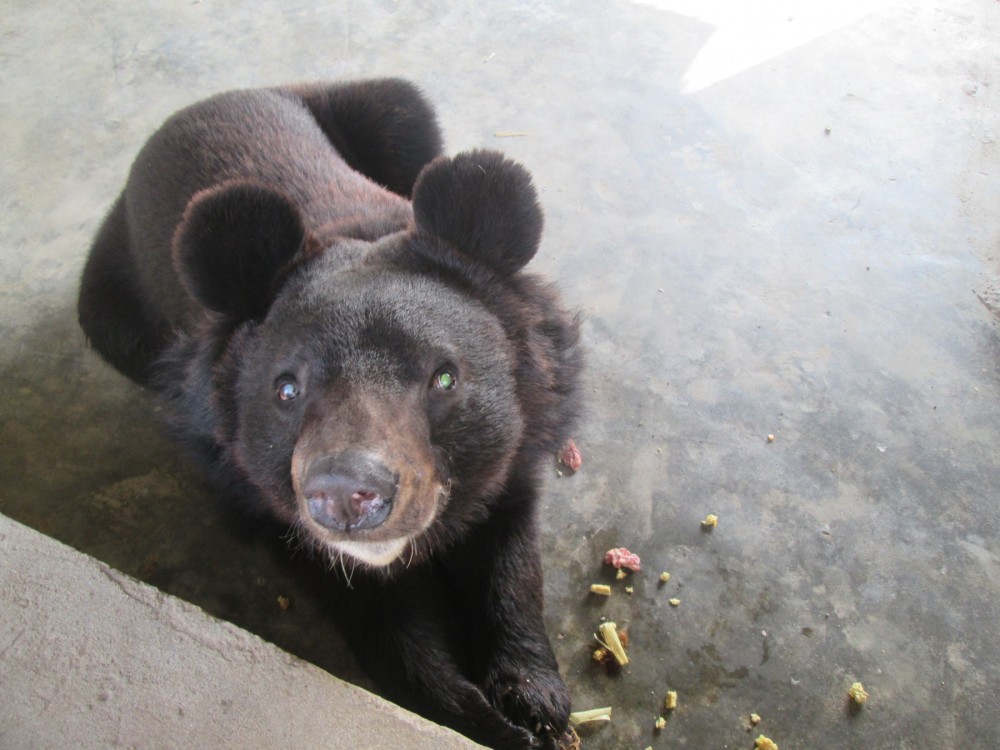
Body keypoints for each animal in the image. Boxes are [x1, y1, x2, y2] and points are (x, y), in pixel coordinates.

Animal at [77, 79, 582, 750]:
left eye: (444, 377)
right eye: (286, 390)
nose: (347, 495)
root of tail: (212, 99)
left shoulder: (529, 422)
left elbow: (511, 561)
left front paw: (535, 703)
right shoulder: (254, 493)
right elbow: (378, 620)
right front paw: (481, 717)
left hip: (394, 111)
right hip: (113, 309)